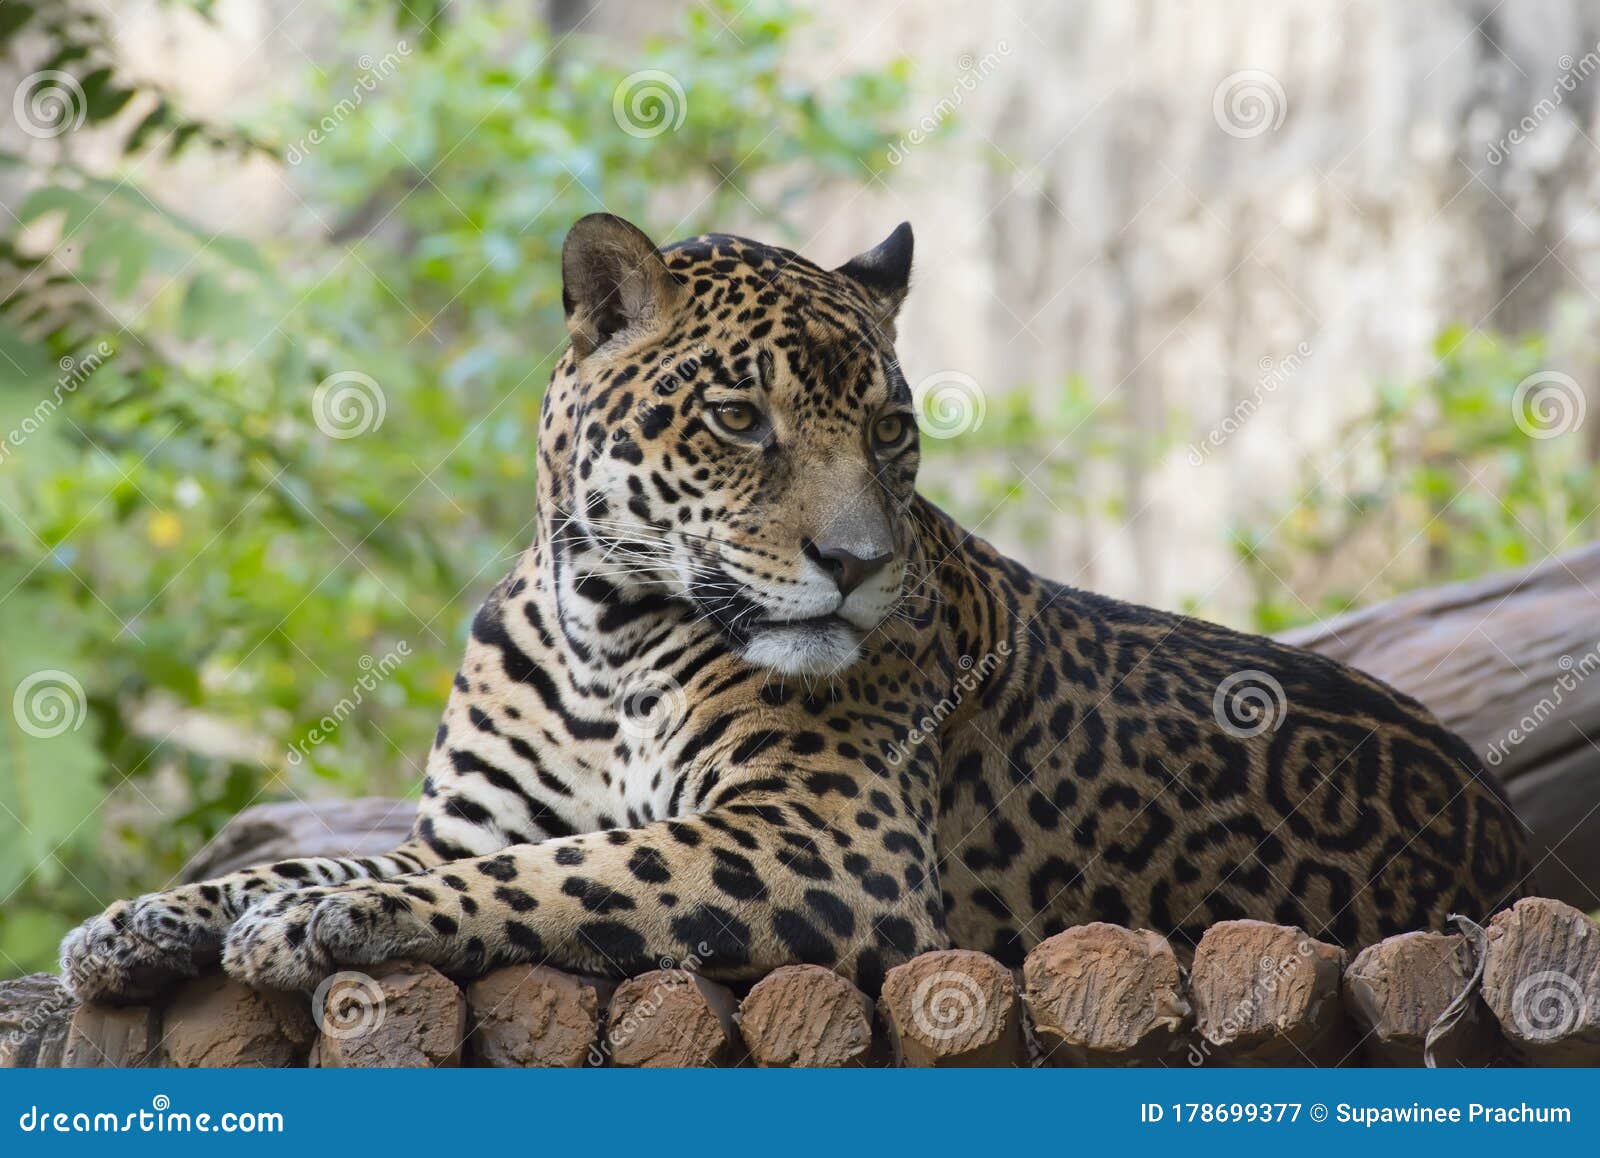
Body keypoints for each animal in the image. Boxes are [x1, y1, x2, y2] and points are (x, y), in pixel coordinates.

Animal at [62, 213, 1534, 1004]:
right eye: (737, 420)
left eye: (890, 431)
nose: (857, 562)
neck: (603, 638)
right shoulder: (461, 827)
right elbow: (329, 856)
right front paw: (141, 921)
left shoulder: (823, 839)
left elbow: (550, 873)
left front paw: (317, 927)